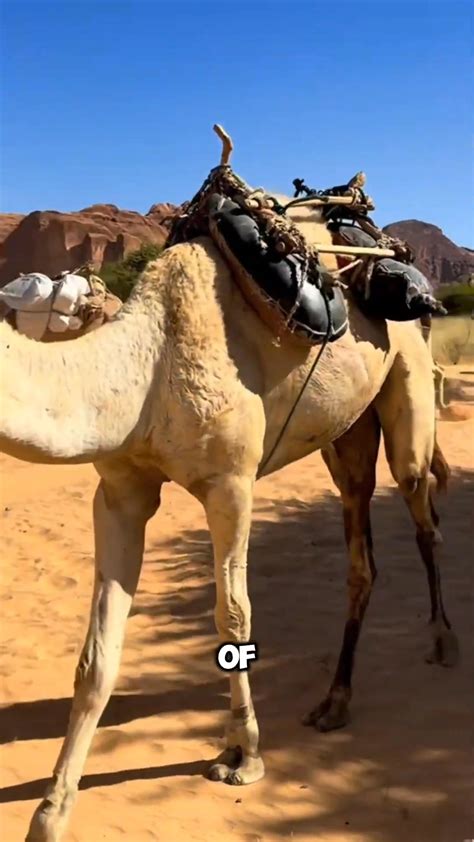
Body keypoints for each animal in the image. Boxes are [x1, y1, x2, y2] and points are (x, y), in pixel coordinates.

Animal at [0, 141, 459, 842]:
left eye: (43, 290)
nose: (6, 296)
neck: (146, 364)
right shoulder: (121, 491)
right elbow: (96, 656)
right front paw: (50, 812)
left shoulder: (231, 484)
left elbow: (234, 616)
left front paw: (243, 755)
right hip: (346, 433)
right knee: (361, 547)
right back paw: (334, 701)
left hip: (407, 375)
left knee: (422, 507)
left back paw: (441, 643)